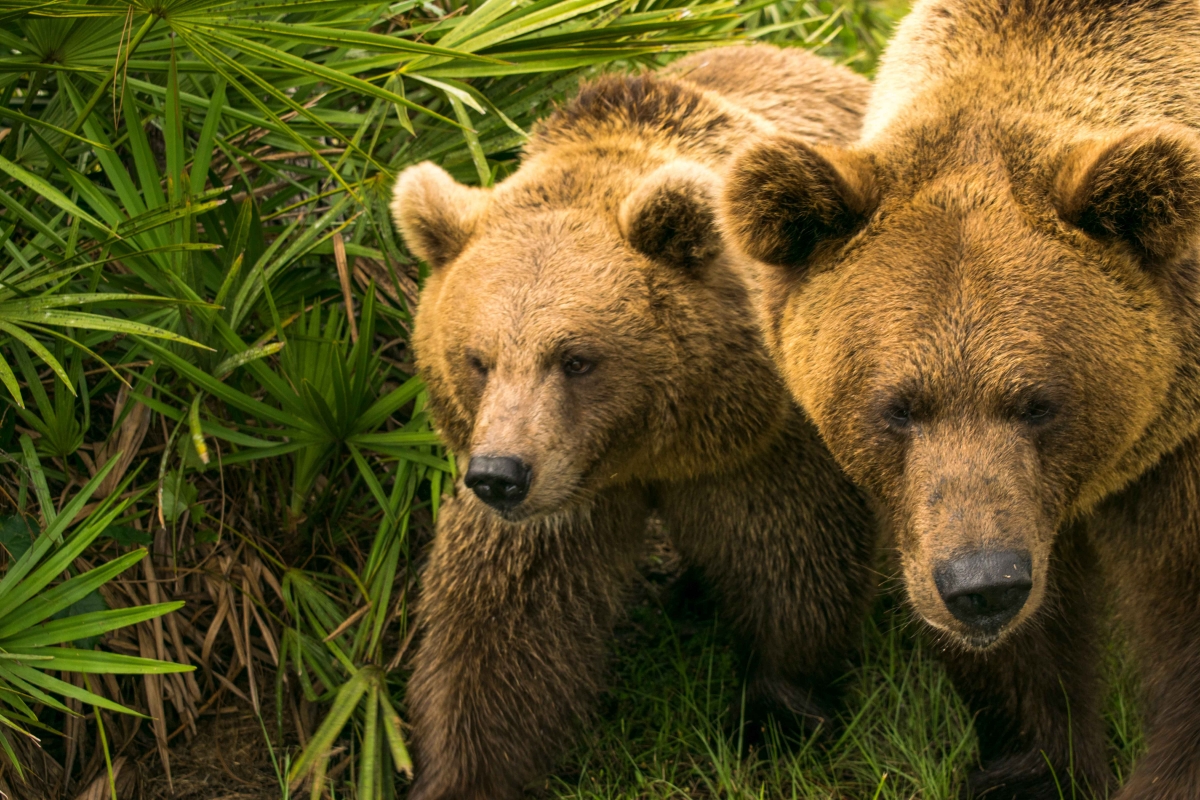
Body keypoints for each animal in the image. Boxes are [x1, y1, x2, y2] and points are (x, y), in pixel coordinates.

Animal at [390, 44, 876, 800]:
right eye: (476, 358)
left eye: (576, 358)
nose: (499, 476)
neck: (648, 450)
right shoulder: (553, 496)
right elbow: (504, 631)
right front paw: (460, 771)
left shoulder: (763, 444)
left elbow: (797, 559)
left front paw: (776, 715)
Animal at [720, 1, 1200, 798]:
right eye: (897, 406)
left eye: (1039, 402)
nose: (983, 586)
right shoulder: (927, 502)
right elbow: (1025, 655)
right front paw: (1032, 767)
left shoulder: (1178, 452)